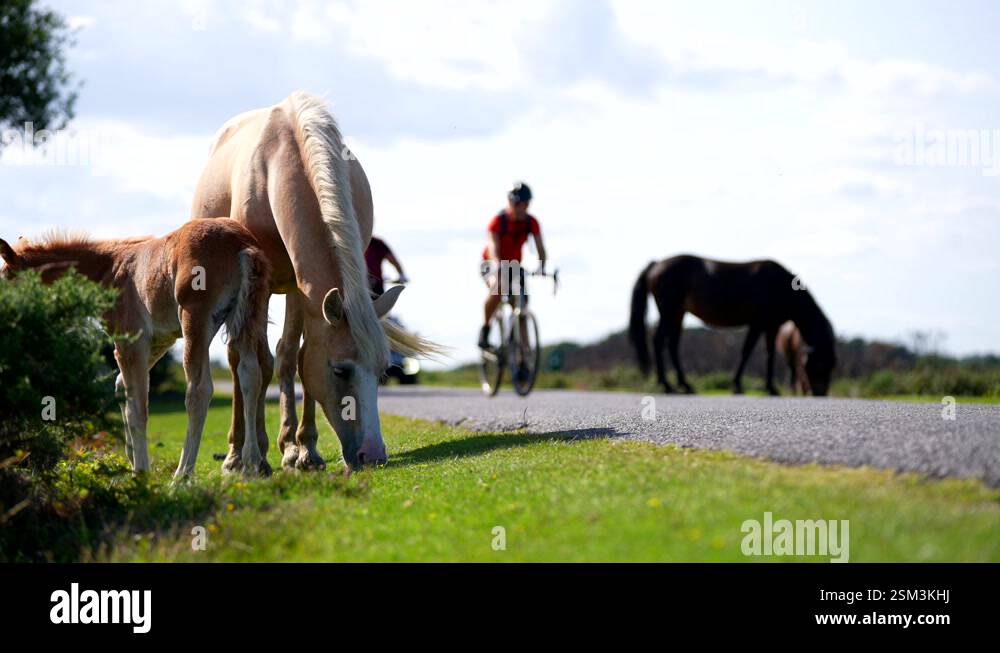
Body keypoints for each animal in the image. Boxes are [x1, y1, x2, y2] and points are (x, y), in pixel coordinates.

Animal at [0, 219, 273, 477]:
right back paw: (250, 464)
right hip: (249, 318)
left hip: (195, 320)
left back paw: (182, 475)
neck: (107, 270)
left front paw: (141, 471)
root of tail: (241, 243)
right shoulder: (159, 340)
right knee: (250, 375)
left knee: (199, 390)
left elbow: (137, 408)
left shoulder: (129, 340)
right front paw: (131, 460)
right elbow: (122, 387)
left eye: (5, 279)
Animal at [191, 91, 437, 472]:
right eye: (339, 371)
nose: (373, 455)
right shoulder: (260, 288)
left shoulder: (302, 289)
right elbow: (256, 364)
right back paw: (237, 454)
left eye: (383, 370)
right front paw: (256, 456)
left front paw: (302, 450)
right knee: (240, 359)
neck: (276, 166)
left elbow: (296, 357)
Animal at [629, 254, 836, 396]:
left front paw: (770, 388)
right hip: (669, 310)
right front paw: (738, 385)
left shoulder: (772, 326)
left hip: (677, 313)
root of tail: (656, 264)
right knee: (658, 341)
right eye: (819, 365)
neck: (783, 287)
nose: (819, 393)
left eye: (830, 367)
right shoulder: (757, 324)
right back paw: (666, 384)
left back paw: (684, 385)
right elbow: (746, 352)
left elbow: (769, 355)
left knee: (672, 345)